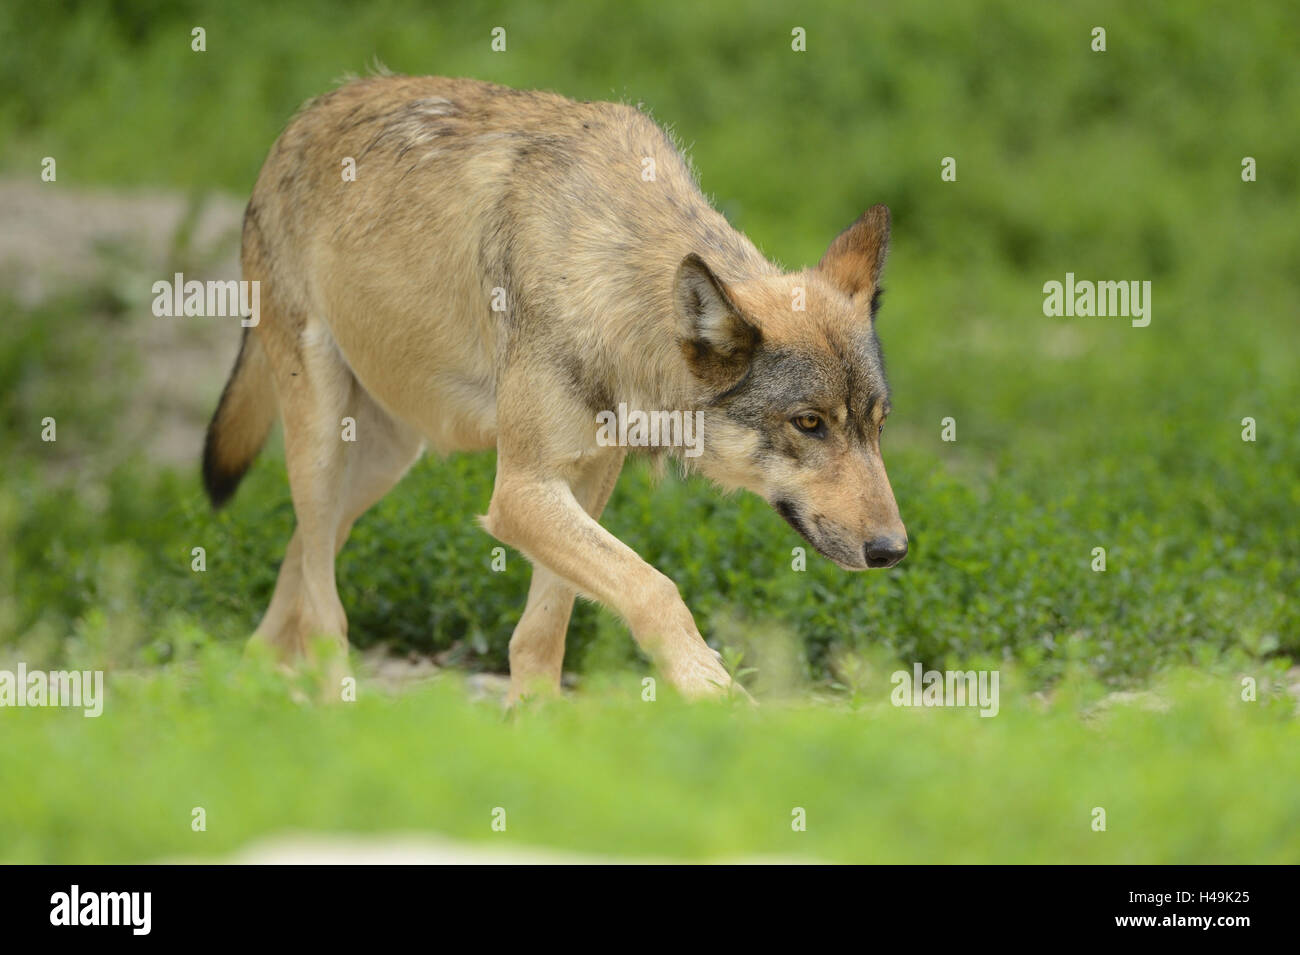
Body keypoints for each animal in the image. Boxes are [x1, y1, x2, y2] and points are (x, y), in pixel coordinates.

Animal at [203, 73, 907, 702]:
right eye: (809, 423)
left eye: (878, 424)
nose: (893, 550)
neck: (611, 281)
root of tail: (300, 118)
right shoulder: (520, 492)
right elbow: (652, 586)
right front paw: (706, 684)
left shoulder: (588, 479)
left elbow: (543, 629)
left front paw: (537, 732)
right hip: (324, 441)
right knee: (321, 598)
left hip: (381, 463)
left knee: (298, 560)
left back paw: (251, 686)